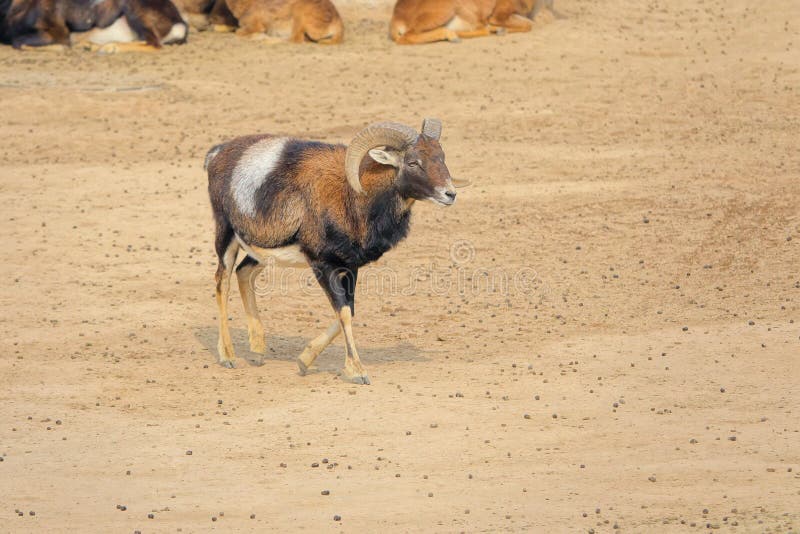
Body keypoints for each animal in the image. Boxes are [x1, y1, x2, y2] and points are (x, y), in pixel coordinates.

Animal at [0, 0, 187, 52]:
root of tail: (179, 23)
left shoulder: (57, 34)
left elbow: (18, 43)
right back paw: (88, 46)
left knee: (154, 44)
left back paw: (110, 48)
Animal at [205, 119, 465, 384]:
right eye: (413, 162)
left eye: (441, 157)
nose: (450, 194)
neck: (354, 199)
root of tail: (217, 155)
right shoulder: (322, 264)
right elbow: (343, 311)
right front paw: (357, 372)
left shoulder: (349, 267)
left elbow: (348, 309)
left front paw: (304, 361)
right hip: (226, 237)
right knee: (222, 282)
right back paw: (228, 356)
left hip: (261, 252)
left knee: (244, 273)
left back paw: (257, 352)